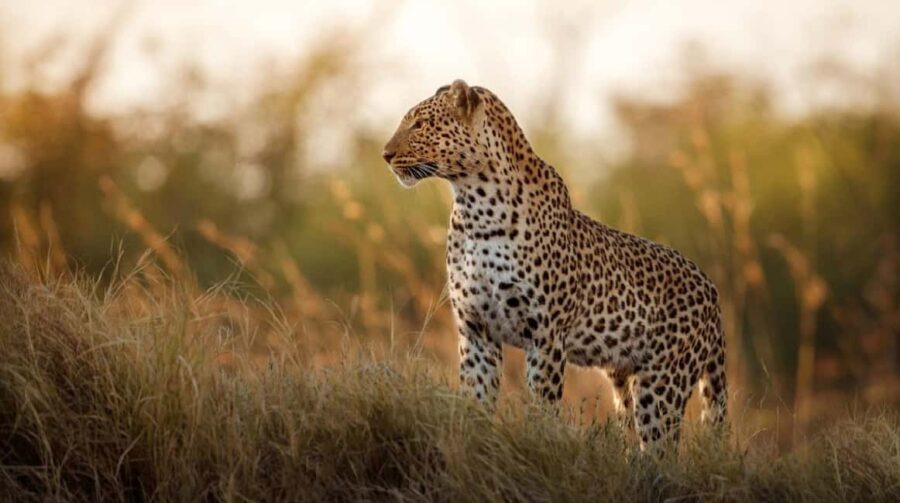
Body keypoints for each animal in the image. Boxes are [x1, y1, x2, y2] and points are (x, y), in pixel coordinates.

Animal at [382, 79, 727, 449]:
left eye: (419, 124)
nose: (385, 155)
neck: (475, 206)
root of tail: (711, 289)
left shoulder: (545, 334)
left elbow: (542, 407)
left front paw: (537, 443)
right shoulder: (476, 330)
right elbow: (476, 401)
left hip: (662, 383)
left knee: (662, 448)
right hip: (624, 381)